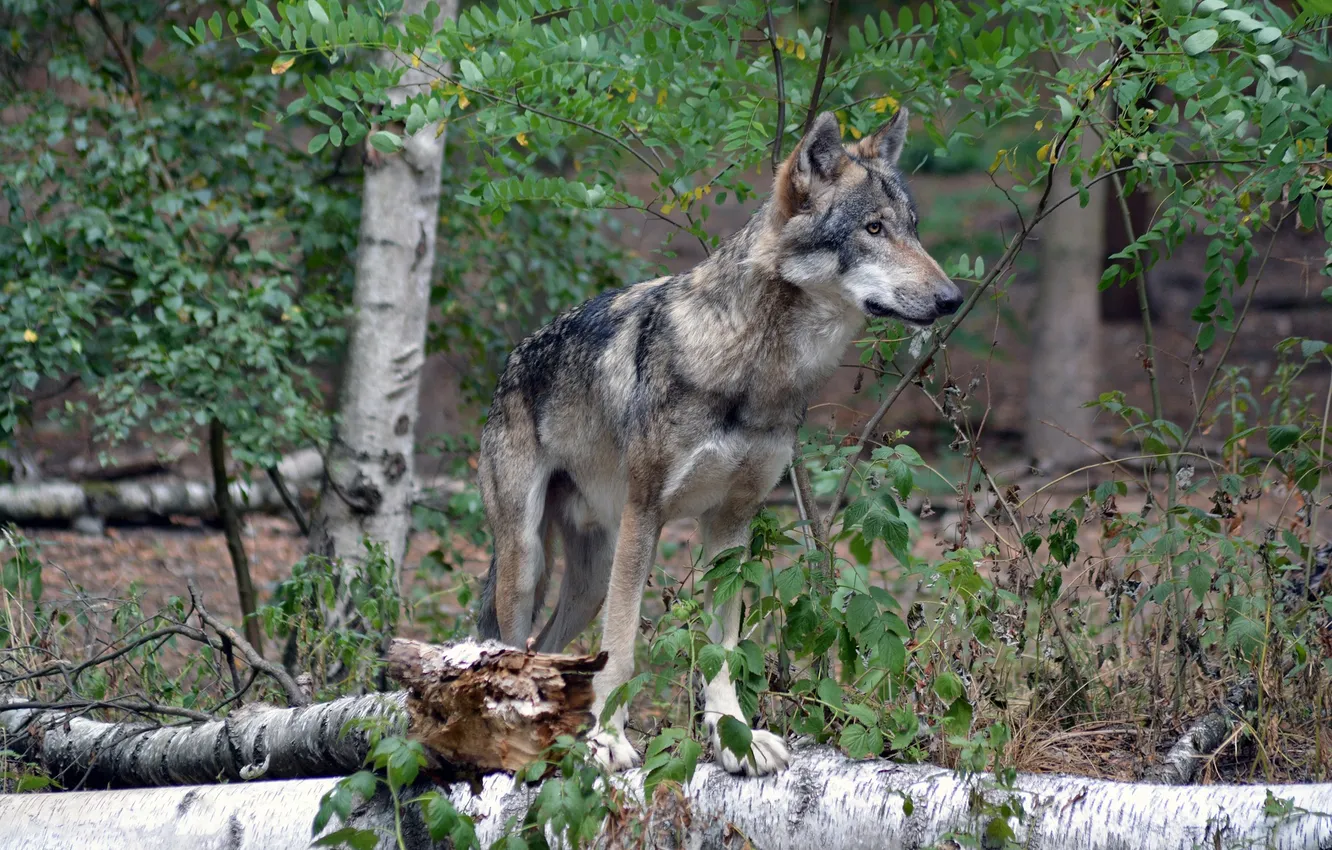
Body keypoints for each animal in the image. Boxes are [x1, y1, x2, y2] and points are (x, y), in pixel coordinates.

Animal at [475, 109, 960, 776]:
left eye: (912, 228)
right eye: (873, 228)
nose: (952, 298)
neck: (758, 368)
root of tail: (513, 359)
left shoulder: (733, 521)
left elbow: (722, 650)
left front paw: (737, 737)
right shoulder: (646, 514)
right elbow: (622, 649)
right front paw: (608, 741)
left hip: (590, 580)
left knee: (550, 654)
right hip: (528, 564)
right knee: (511, 650)